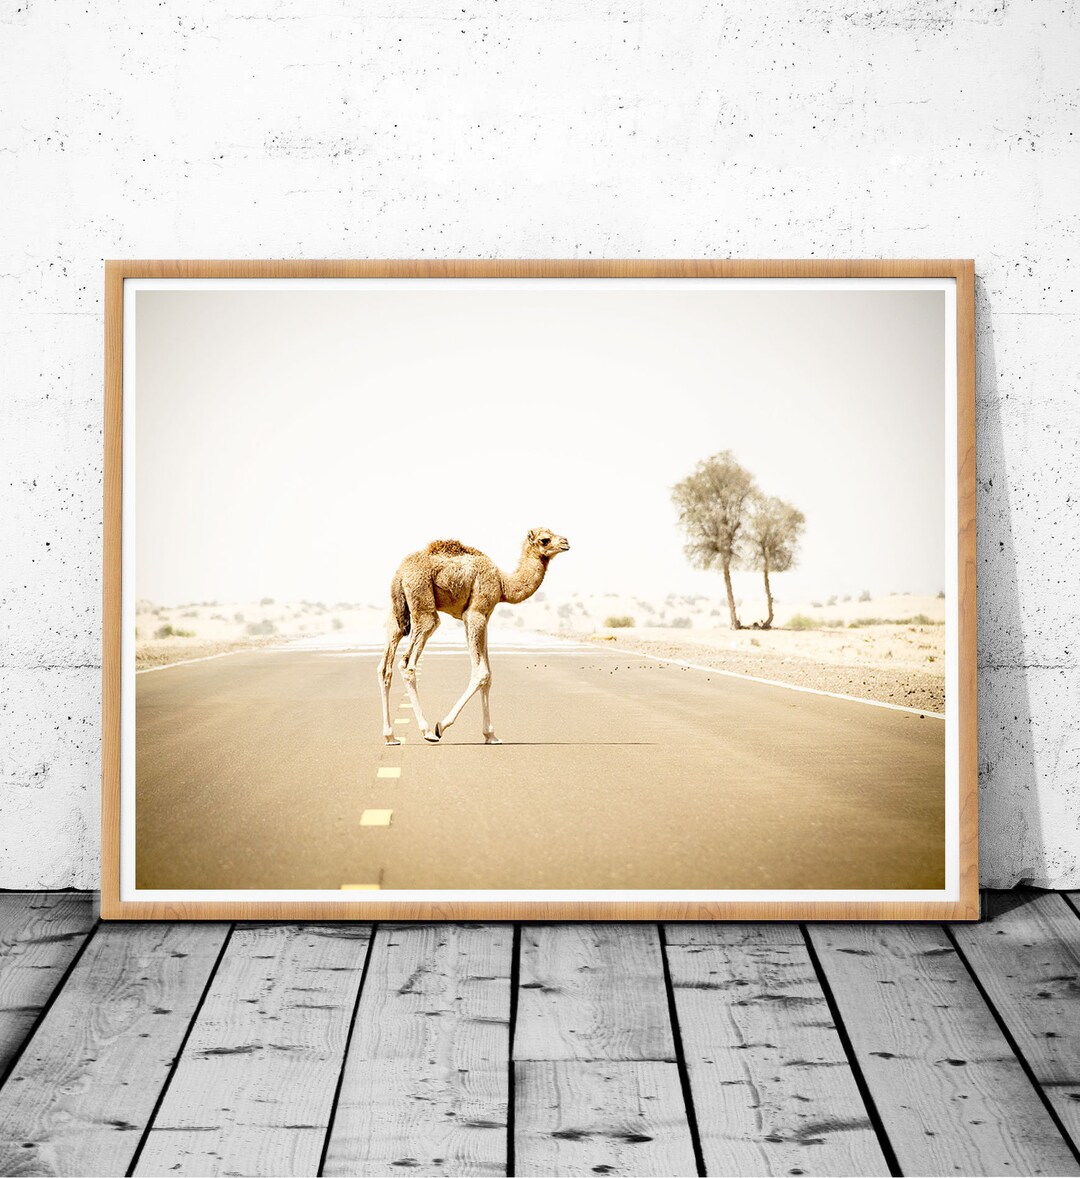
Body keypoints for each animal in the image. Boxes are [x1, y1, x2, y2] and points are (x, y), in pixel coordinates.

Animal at [378, 528, 570, 745]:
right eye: (545, 540)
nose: (565, 542)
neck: (503, 584)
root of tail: (400, 574)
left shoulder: (483, 617)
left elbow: (489, 675)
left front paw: (491, 735)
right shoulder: (475, 613)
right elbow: (482, 673)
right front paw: (441, 726)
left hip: (397, 612)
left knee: (385, 666)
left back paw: (390, 736)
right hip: (423, 604)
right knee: (408, 663)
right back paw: (427, 731)